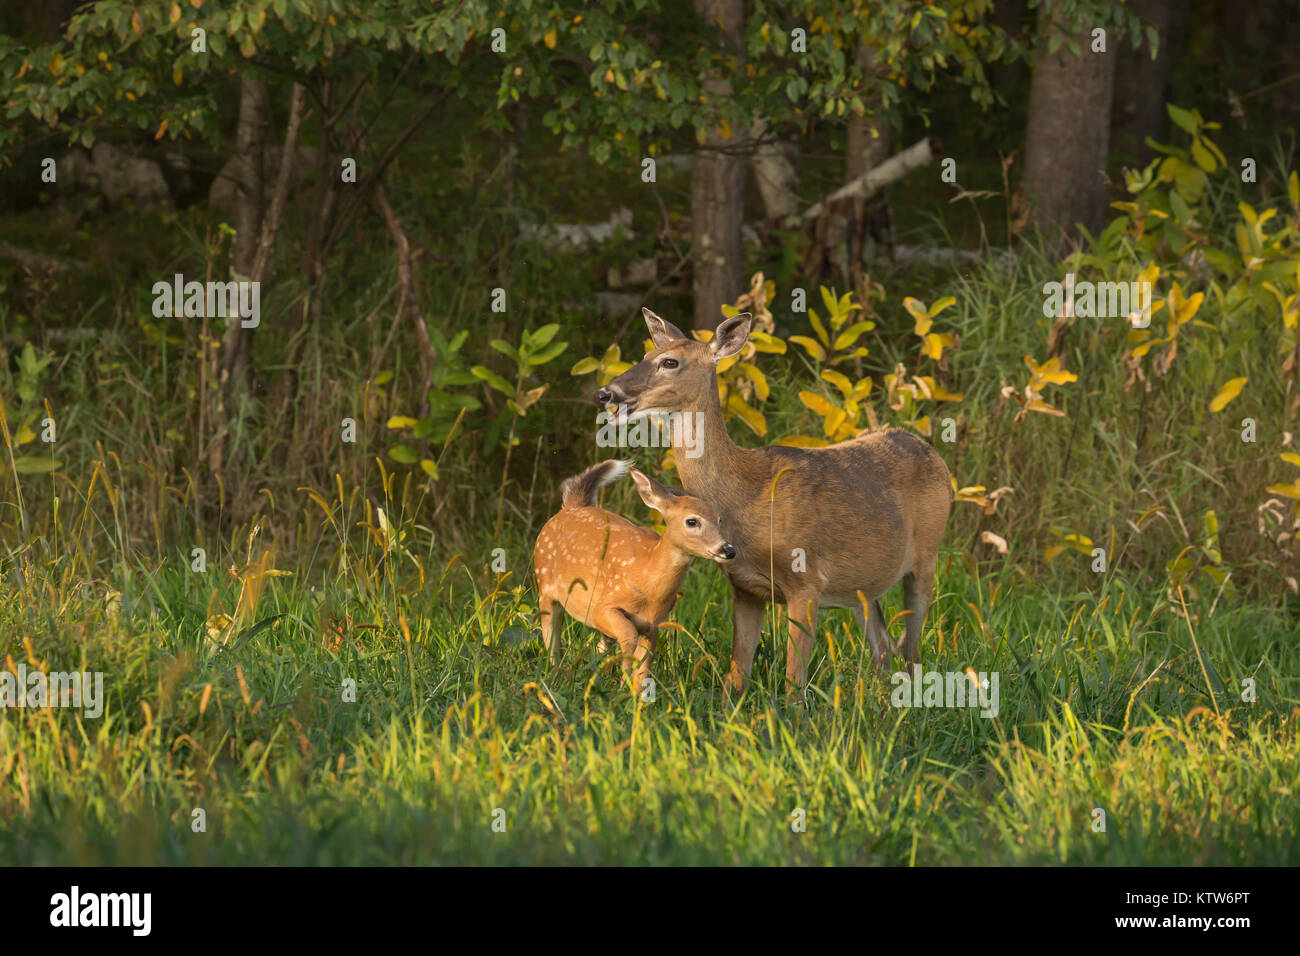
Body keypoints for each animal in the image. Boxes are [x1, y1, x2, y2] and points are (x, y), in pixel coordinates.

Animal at [533, 459, 735, 692]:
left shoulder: (653, 624)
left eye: (719, 520)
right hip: (545, 586)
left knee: (599, 645)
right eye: (692, 521)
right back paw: (555, 676)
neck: (646, 576)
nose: (728, 550)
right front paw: (623, 686)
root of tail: (571, 506)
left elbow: (645, 663)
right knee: (551, 638)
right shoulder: (601, 607)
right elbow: (629, 637)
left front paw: (635, 692)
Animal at [594, 308, 953, 700]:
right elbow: (736, 675)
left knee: (911, 649)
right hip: (863, 584)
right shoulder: (744, 588)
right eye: (645, 355)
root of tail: (936, 456)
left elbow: (794, 681)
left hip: (927, 557)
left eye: (669, 361)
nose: (605, 393)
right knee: (884, 648)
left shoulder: (806, 579)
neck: (747, 494)